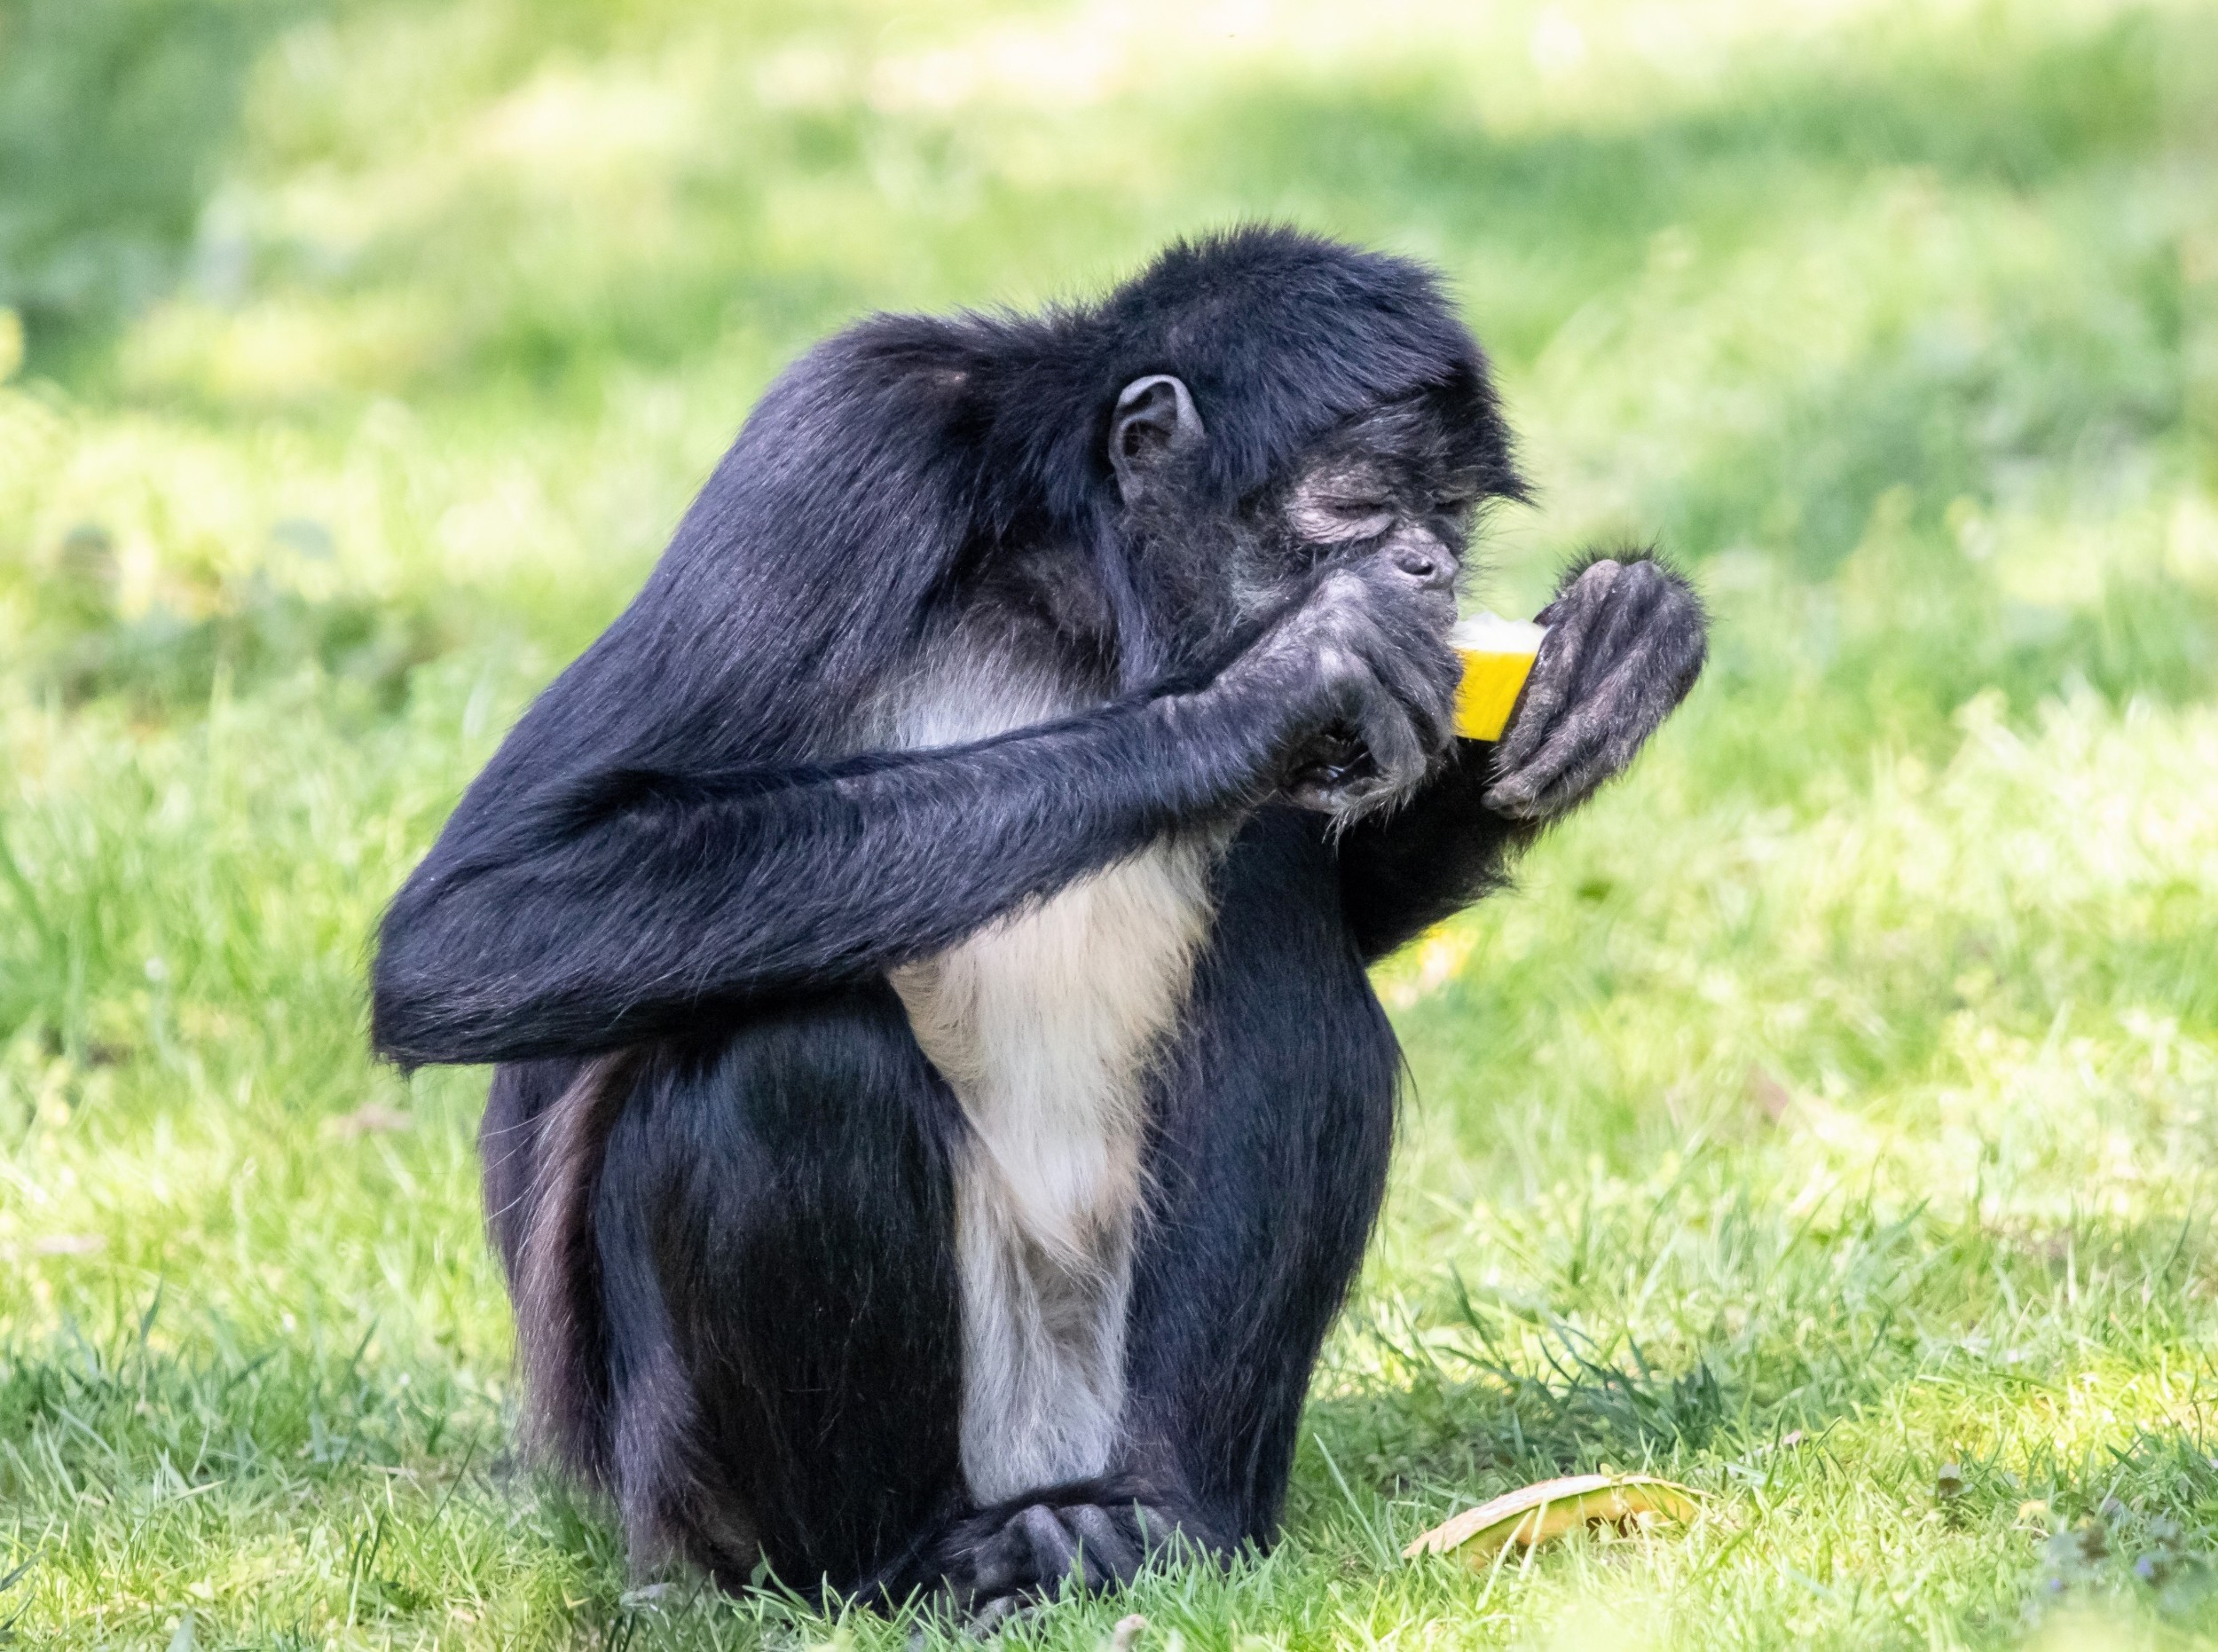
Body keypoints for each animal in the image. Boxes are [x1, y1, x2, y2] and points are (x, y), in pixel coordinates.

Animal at [370, 227, 1706, 1614]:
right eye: (1365, 503)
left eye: (1451, 513)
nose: (1435, 569)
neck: (1082, 599)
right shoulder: (852, 436)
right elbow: (465, 928)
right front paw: (1249, 705)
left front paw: (1618, 648)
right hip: (691, 1480)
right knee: (789, 1054)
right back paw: (915, 1559)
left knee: (1279, 942)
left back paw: (1163, 1515)